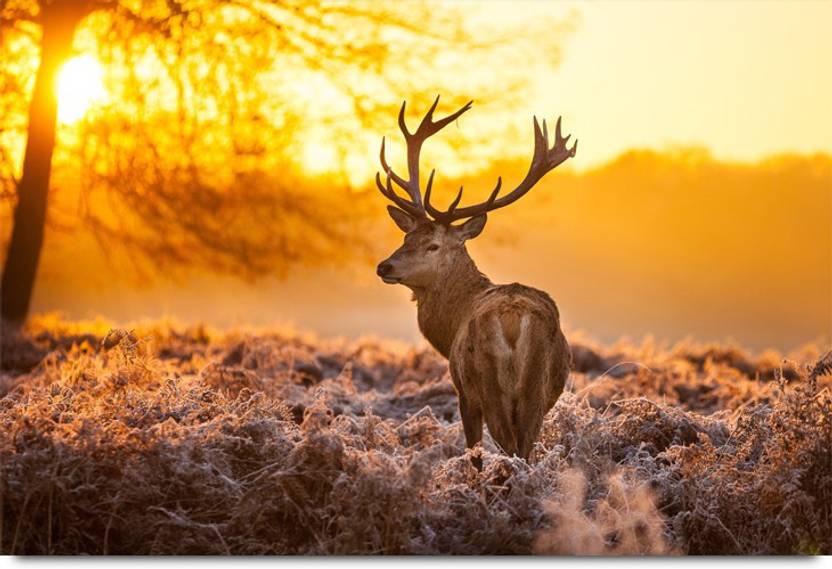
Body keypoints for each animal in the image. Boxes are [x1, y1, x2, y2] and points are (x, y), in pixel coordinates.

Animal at [375, 96, 577, 463]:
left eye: (433, 245)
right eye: (405, 238)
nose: (384, 267)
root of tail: (512, 320)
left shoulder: (464, 393)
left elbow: (474, 452)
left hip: (488, 384)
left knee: (509, 448)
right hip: (536, 392)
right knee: (525, 449)